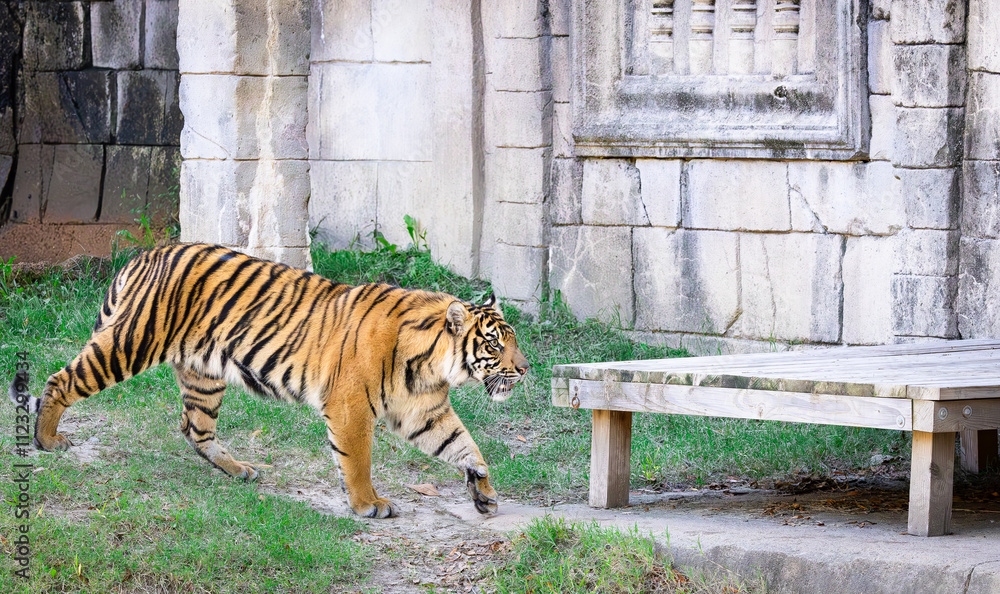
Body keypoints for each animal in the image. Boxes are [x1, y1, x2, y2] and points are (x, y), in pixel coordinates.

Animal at [8, 243, 529, 518]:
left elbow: (464, 444)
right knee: (59, 382)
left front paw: (483, 490)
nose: (525, 369)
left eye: (513, 340)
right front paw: (369, 505)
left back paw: (240, 470)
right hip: (128, 344)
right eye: (494, 345)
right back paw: (46, 440)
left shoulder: (424, 411)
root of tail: (145, 254)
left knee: (195, 430)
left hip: (203, 375)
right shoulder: (350, 408)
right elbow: (358, 461)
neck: (431, 365)